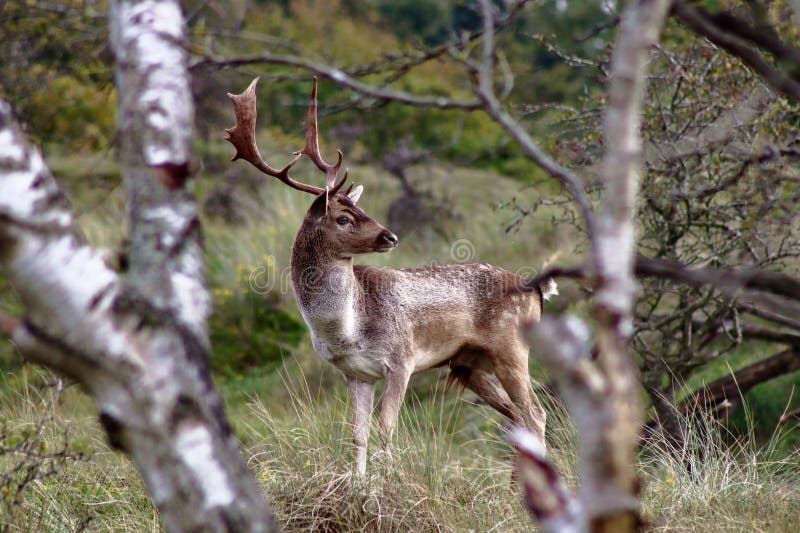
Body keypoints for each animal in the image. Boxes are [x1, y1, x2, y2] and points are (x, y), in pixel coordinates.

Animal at [225, 78, 557, 476]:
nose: (390, 236)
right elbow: (358, 434)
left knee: (536, 414)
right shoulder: (356, 373)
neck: (348, 327)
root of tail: (538, 289)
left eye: (361, 208)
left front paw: (389, 481)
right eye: (343, 218)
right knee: (518, 418)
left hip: (511, 346)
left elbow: (386, 428)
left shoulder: (402, 359)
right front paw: (359, 484)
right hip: (469, 364)